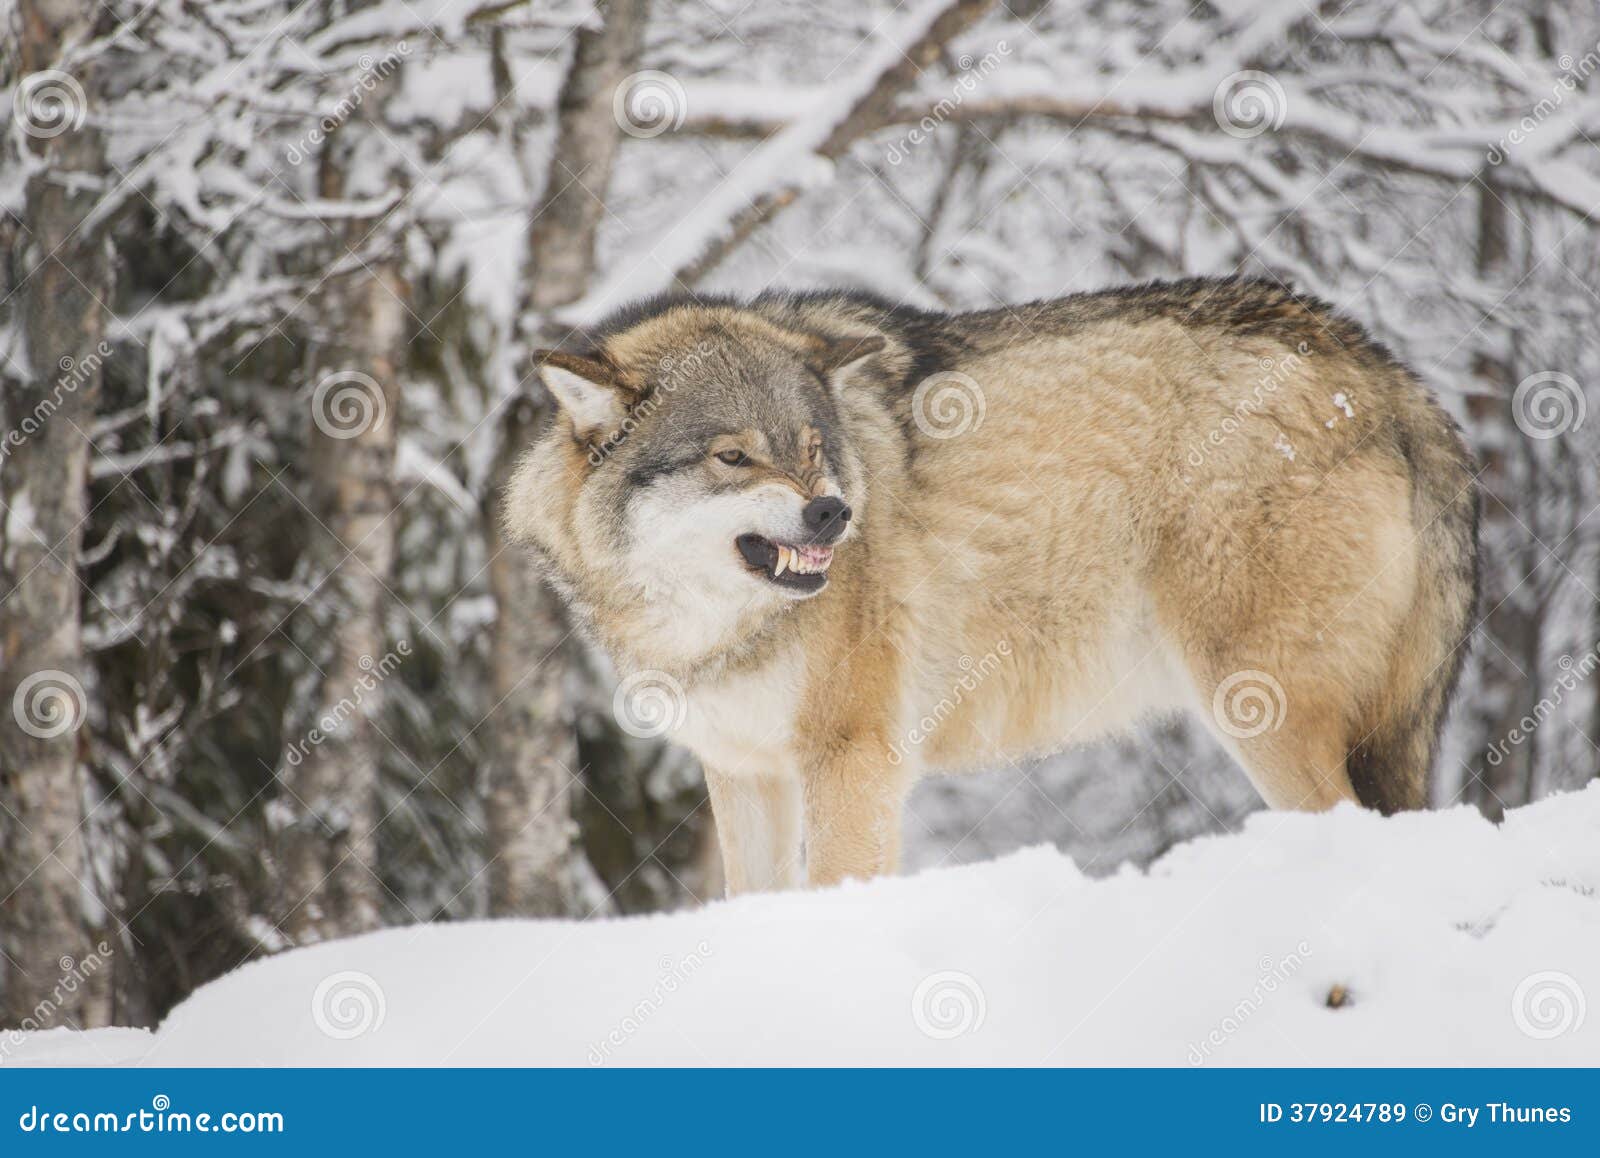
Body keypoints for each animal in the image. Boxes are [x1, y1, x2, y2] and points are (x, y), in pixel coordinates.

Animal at [505, 278, 1479, 894]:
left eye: (813, 449)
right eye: (733, 457)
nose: (832, 513)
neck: (716, 624)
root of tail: (1384, 369)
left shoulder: (854, 759)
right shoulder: (745, 774)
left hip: (1259, 711)